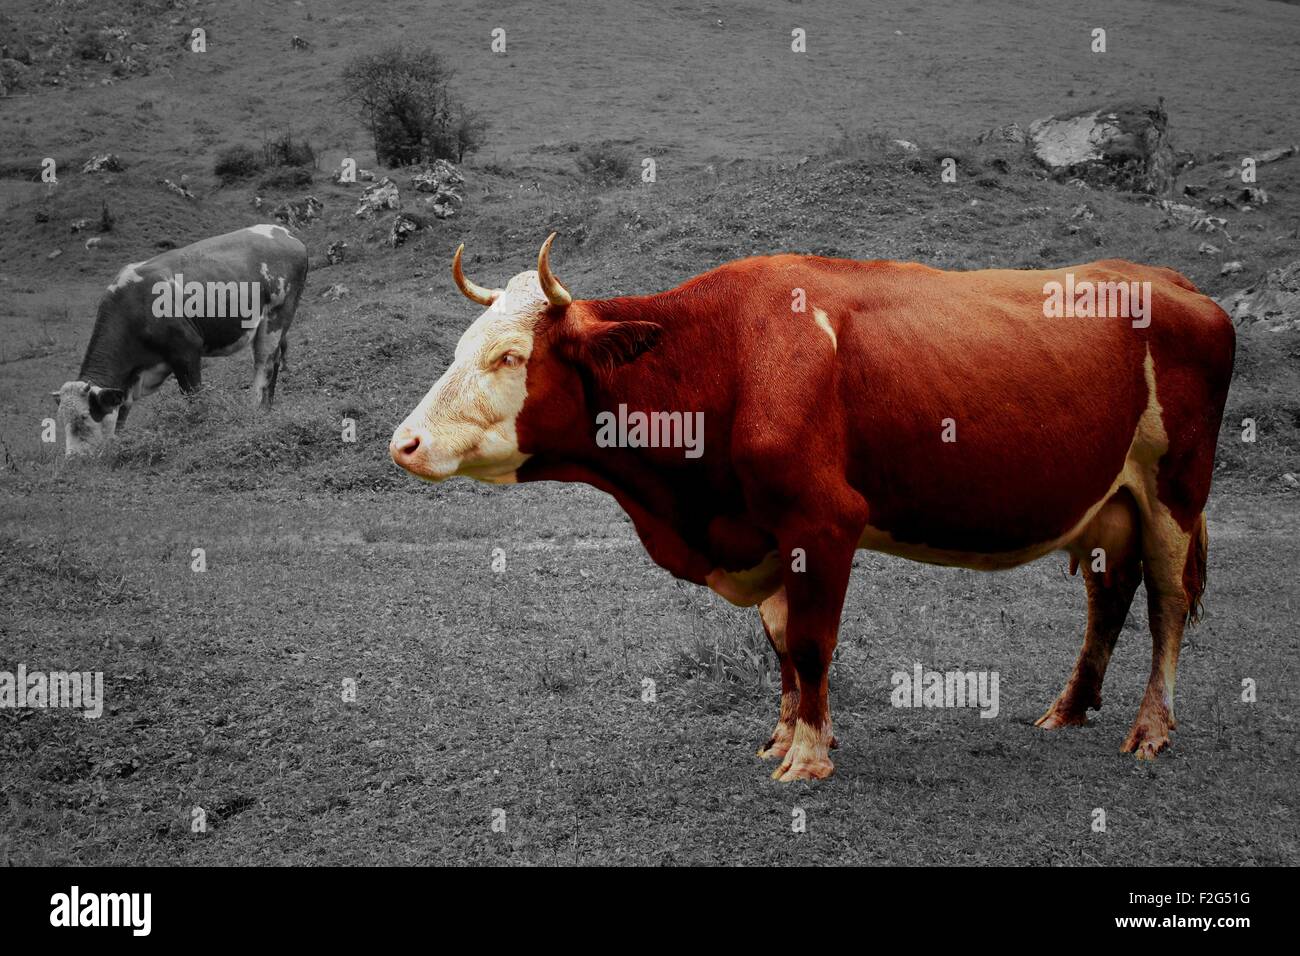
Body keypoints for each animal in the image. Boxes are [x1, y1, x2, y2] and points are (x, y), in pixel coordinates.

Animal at [53, 224, 308, 455]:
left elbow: (194, 396)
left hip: (276, 316)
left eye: (84, 416)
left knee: (265, 363)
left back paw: (256, 408)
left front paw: (202, 426)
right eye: (62, 420)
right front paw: (119, 443)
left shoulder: (186, 350)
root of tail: (285, 233)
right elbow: (121, 413)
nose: (73, 458)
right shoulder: (128, 380)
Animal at [390, 235, 1235, 782]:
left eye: (510, 356)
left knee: (1165, 602)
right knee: (1108, 598)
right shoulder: (766, 532)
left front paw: (807, 757)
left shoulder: (825, 522)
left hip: (1174, 492)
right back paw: (1069, 709)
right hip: (1108, 504)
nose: (405, 442)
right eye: (461, 347)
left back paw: (1150, 729)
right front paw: (784, 734)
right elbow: (779, 646)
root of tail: (1177, 285)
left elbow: (809, 644)